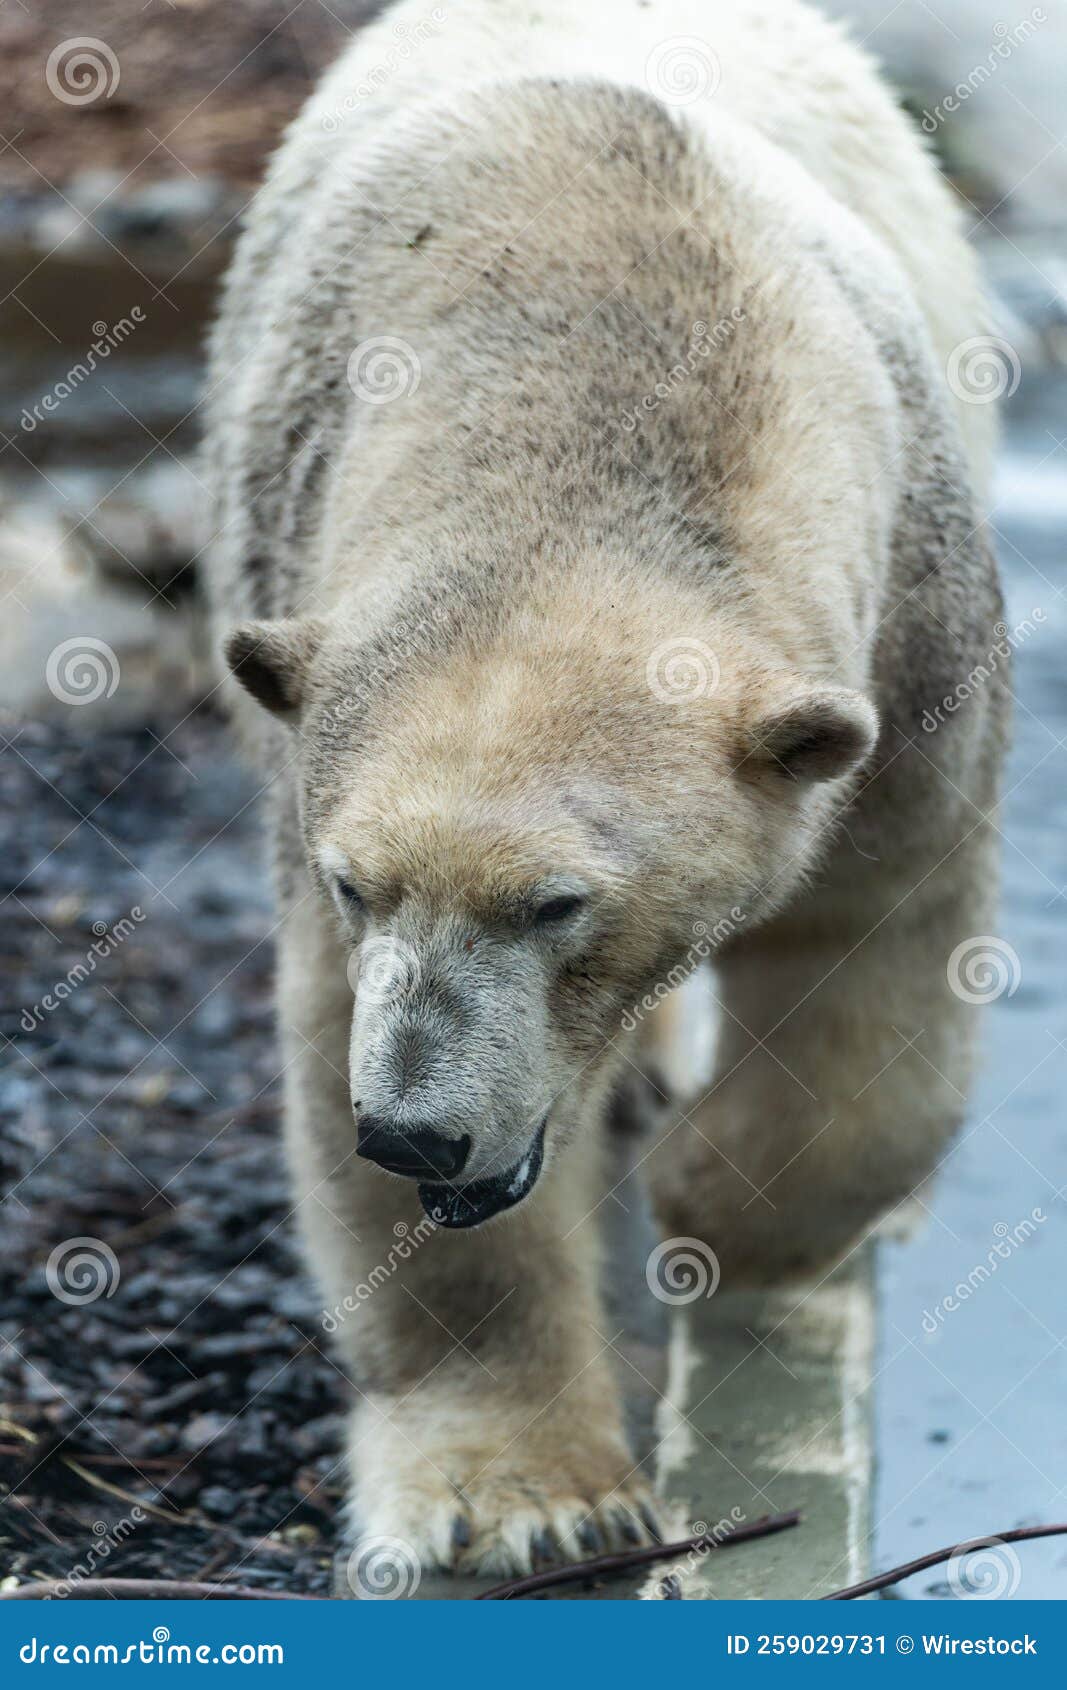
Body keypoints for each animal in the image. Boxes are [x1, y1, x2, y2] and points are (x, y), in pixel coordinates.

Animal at [202, 0, 1009, 1580]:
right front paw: (524, 1499)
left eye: (557, 902)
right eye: (356, 882)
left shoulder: (910, 652)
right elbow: (346, 1060)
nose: (416, 1126)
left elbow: (874, 935)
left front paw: (711, 1205)